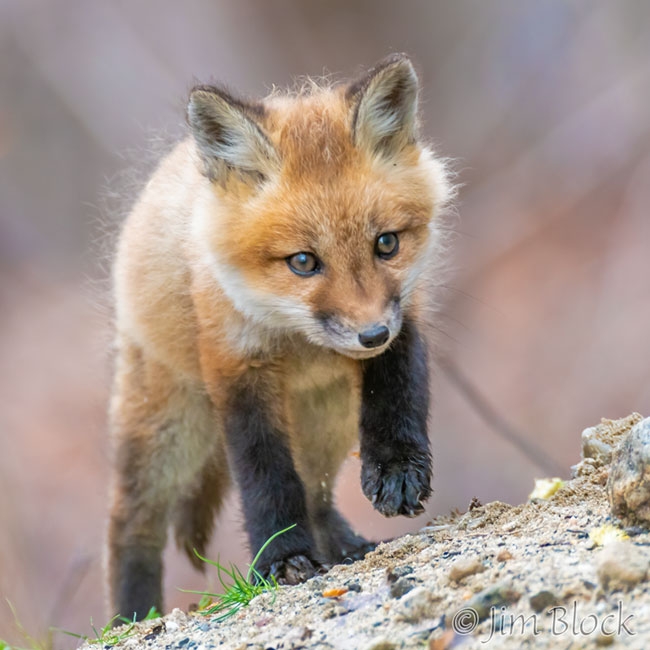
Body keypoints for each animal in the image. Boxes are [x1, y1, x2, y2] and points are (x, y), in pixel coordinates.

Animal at [107, 53, 453, 620]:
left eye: (386, 244)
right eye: (303, 262)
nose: (370, 334)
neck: (299, 341)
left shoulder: (406, 315)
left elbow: (399, 392)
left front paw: (397, 468)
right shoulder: (235, 369)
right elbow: (264, 473)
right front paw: (282, 558)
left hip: (326, 418)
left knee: (318, 494)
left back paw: (344, 547)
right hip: (170, 433)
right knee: (131, 527)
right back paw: (135, 615)